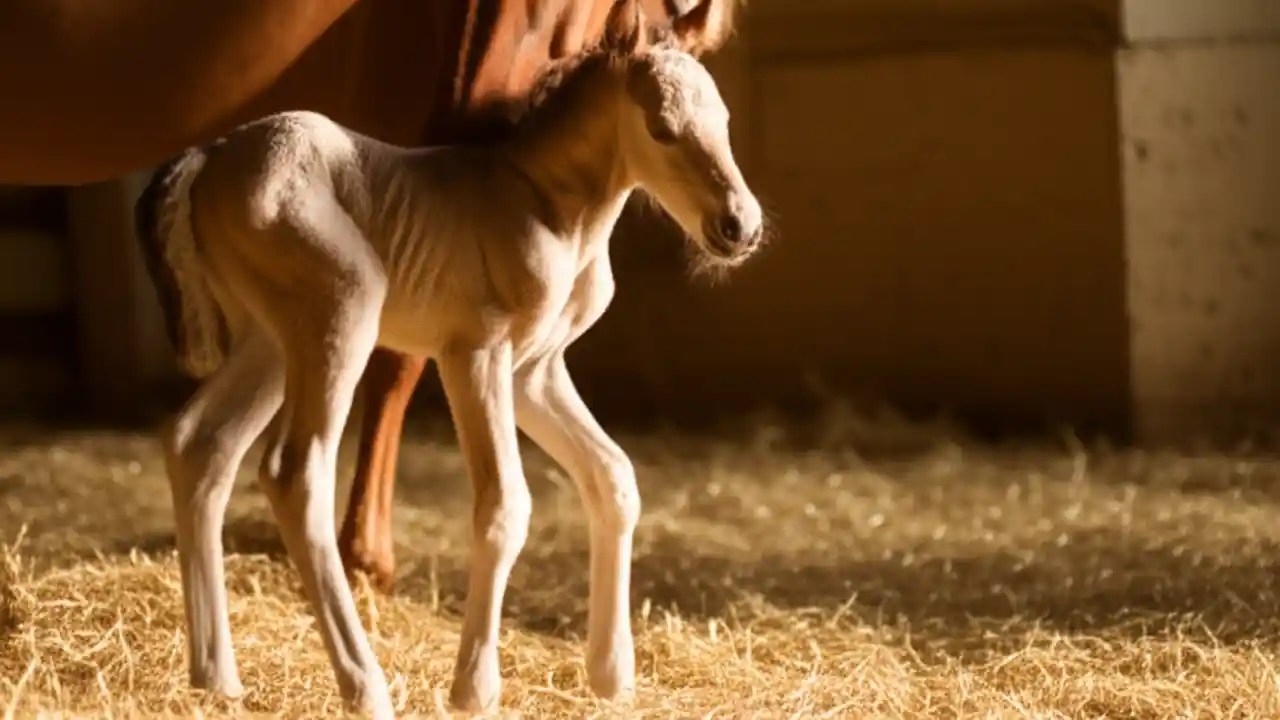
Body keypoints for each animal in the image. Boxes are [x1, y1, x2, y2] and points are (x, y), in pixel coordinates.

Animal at [134, 8, 763, 716]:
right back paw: (365, 685)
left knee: (199, 443)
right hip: (341, 314)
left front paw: (612, 675)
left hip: (270, 339)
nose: (738, 227)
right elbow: (504, 505)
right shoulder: (476, 354)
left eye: (725, 122)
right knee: (295, 472)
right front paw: (475, 687)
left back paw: (216, 677)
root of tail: (207, 156)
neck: (551, 207)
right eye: (661, 127)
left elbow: (613, 478)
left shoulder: (535, 372)